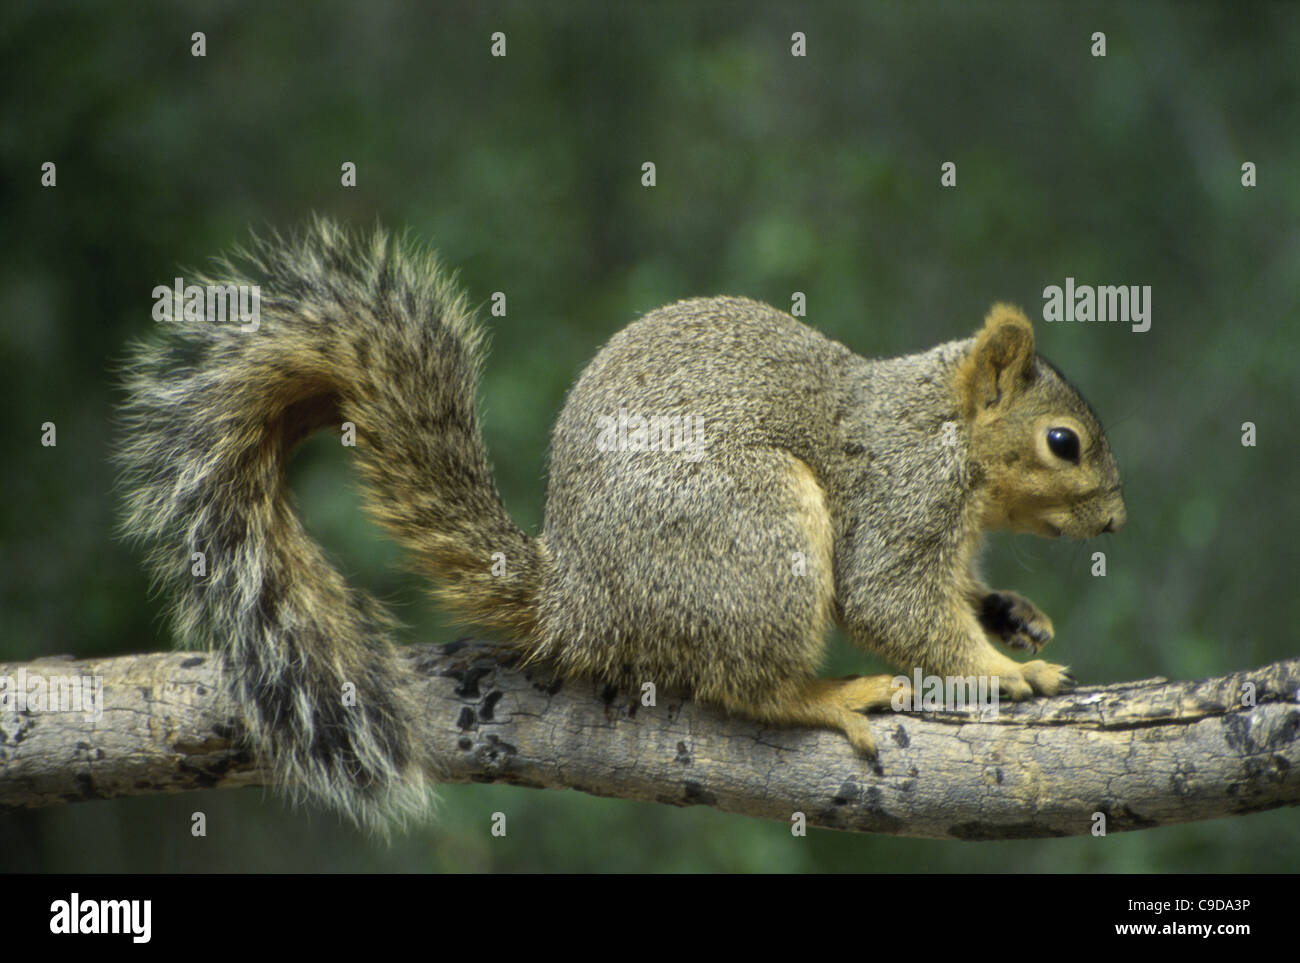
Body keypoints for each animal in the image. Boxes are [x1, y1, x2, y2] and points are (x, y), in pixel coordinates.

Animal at [117, 218, 1126, 829]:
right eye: (1063, 442)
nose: (1117, 520)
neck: (942, 428)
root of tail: (582, 603)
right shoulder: (899, 501)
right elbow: (894, 602)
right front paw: (1010, 672)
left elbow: (956, 594)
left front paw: (1013, 615)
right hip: (756, 536)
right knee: (742, 685)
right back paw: (833, 695)